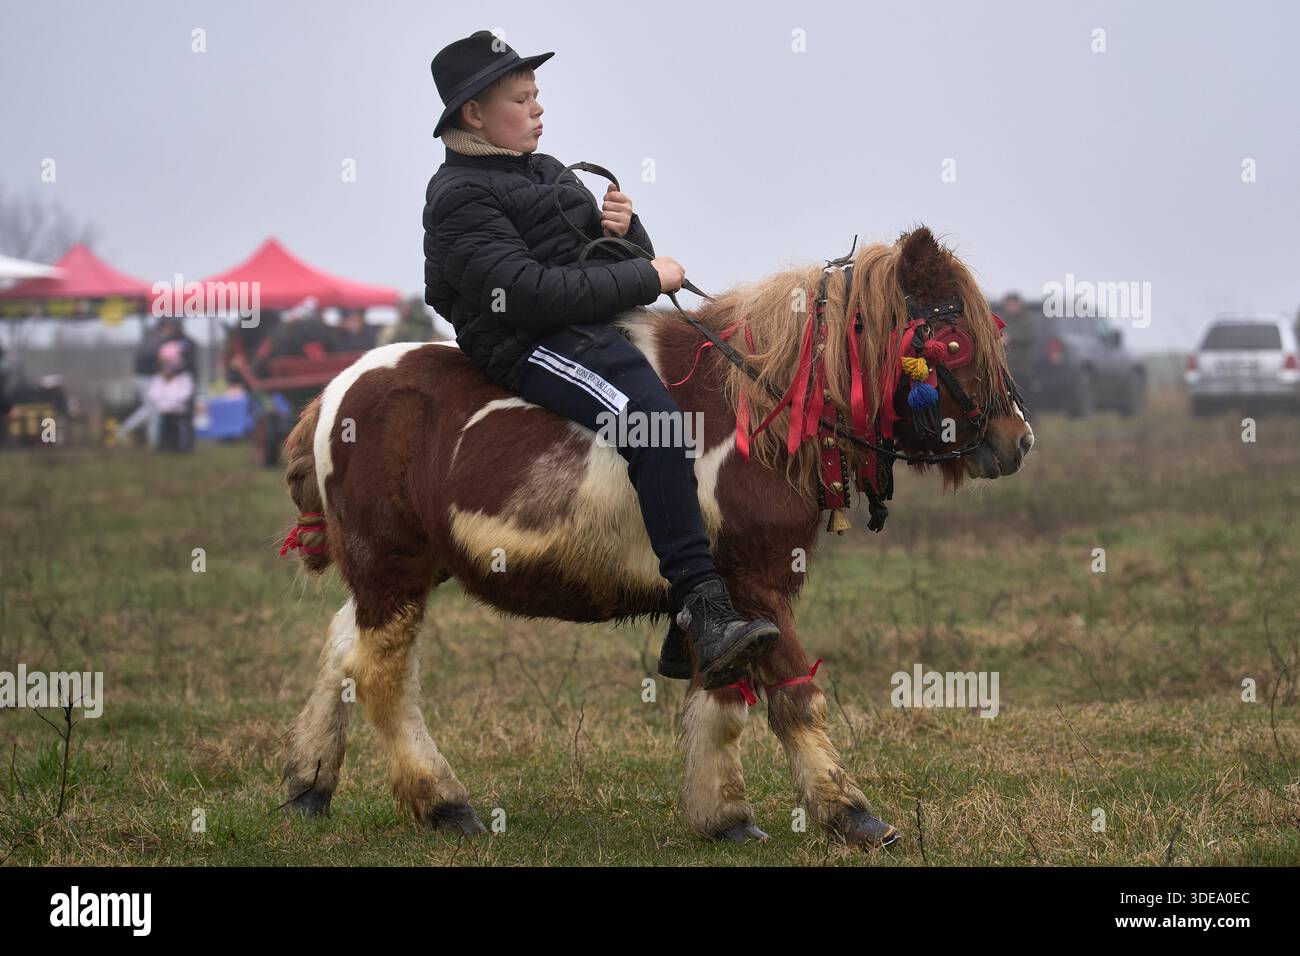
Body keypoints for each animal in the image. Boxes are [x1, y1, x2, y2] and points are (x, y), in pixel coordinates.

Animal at [277, 226, 1034, 847]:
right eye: (956, 336)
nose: (1018, 439)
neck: (754, 401)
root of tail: (334, 393)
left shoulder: (718, 601)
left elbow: (721, 702)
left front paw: (724, 815)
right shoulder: (754, 581)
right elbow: (793, 697)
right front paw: (850, 812)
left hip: (401, 568)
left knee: (344, 649)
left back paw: (309, 783)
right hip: (391, 563)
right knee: (381, 676)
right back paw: (442, 802)